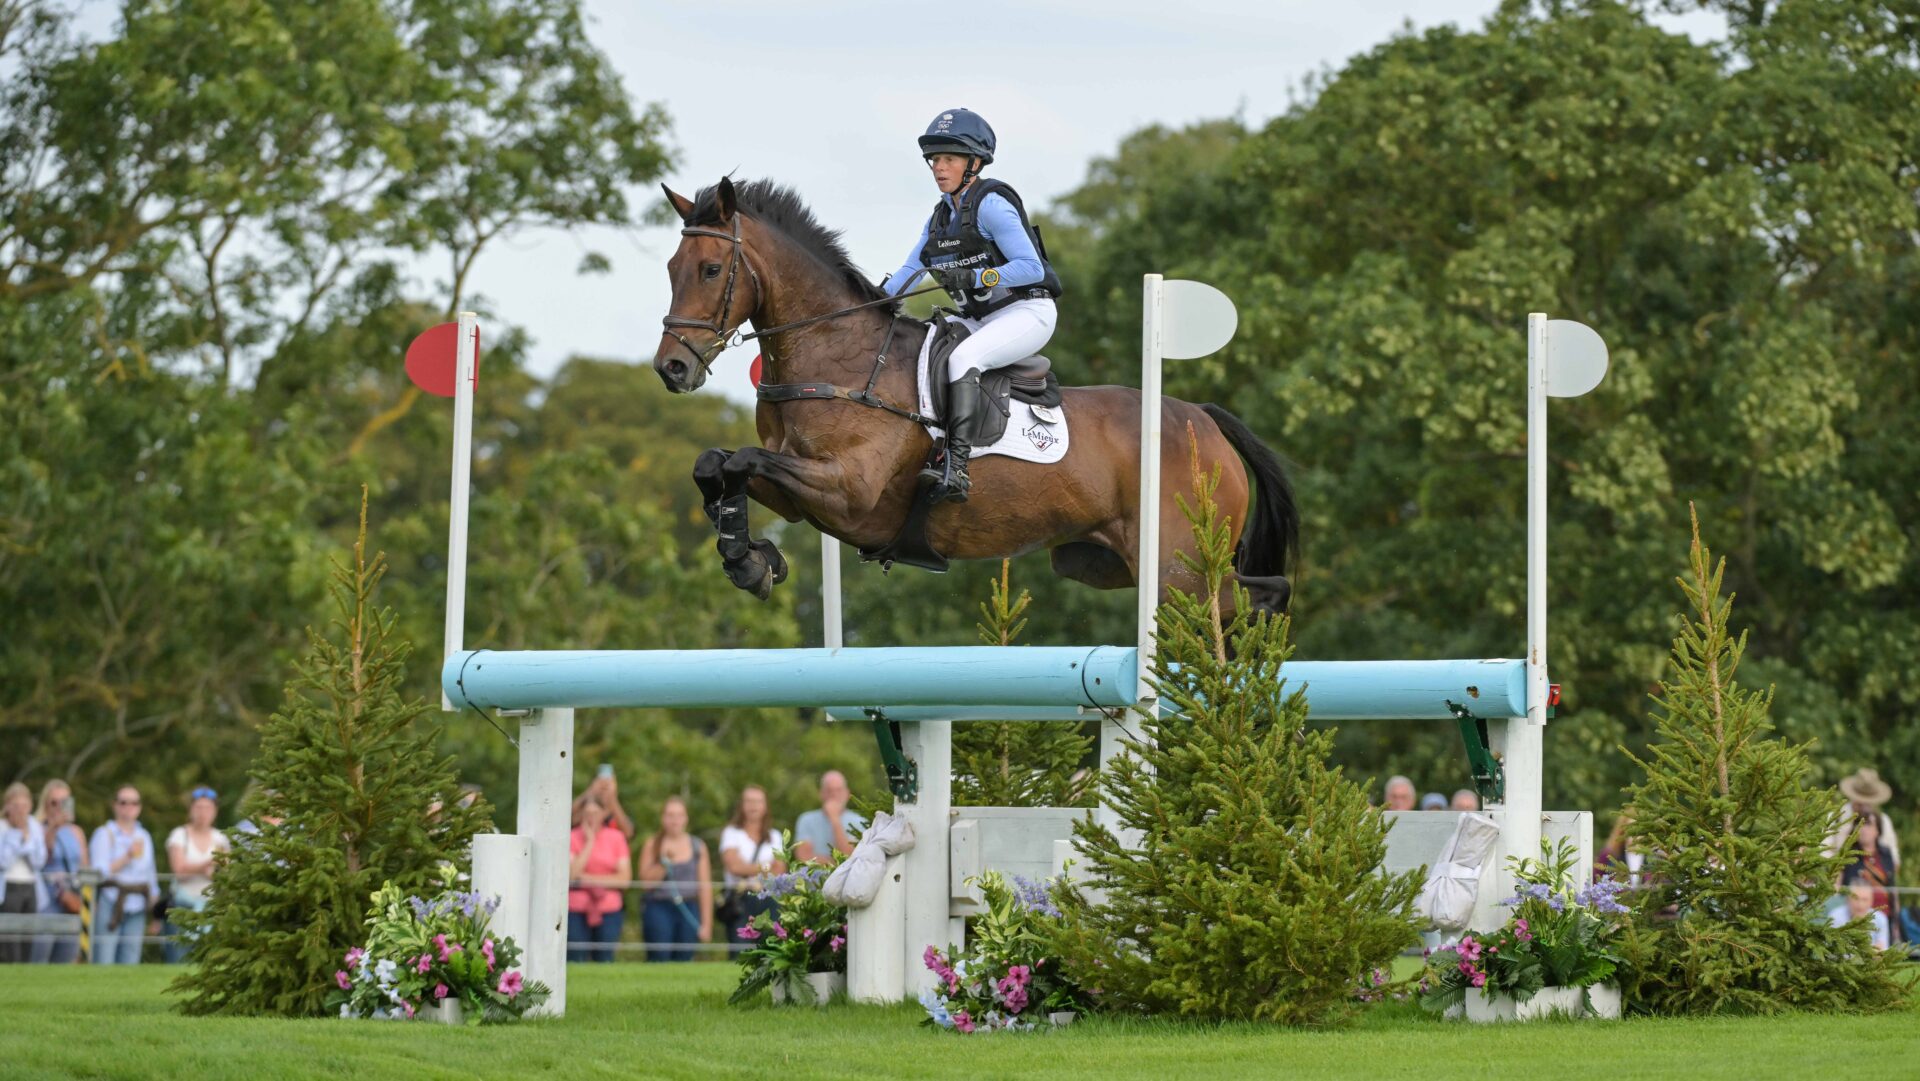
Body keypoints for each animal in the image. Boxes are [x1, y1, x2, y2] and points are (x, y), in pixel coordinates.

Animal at [652, 177, 1298, 615]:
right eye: (671, 267)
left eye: (711, 270)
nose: (672, 369)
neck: (839, 357)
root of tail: (1201, 420)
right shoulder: (800, 494)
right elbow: (716, 465)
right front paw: (750, 559)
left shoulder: (848, 492)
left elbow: (742, 459)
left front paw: (749, 559)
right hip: (1104, 562)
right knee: (1258, 592)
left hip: (1177, 569)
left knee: (1252, 599)